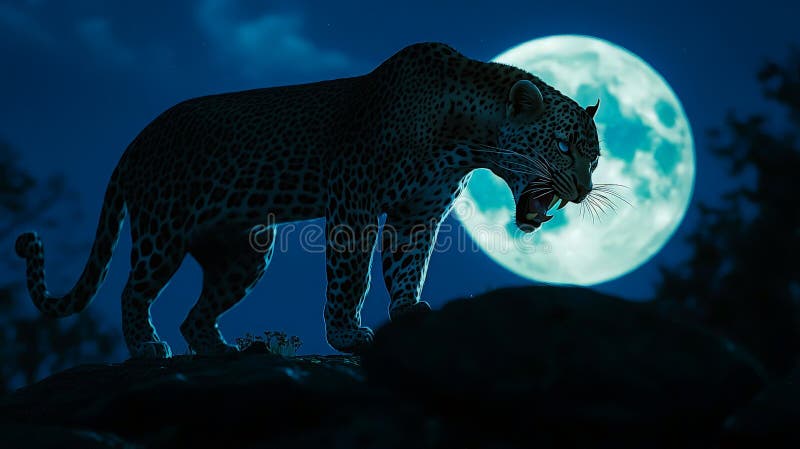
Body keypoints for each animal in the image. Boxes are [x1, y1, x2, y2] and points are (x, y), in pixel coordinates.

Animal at [15, 42, 601, 358]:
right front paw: (347, 335)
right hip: (164, 229)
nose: (584, 190)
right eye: (563, 147)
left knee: (195, 315)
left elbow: (408, 266)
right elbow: (352, 273)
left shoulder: (417, 212)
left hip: (245, 252)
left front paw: (408, 314)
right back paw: (145, 348)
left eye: (593, 159)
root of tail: (136, 141)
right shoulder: (355, 197)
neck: (468, 137)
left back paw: (223, 350)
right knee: (132, 290)